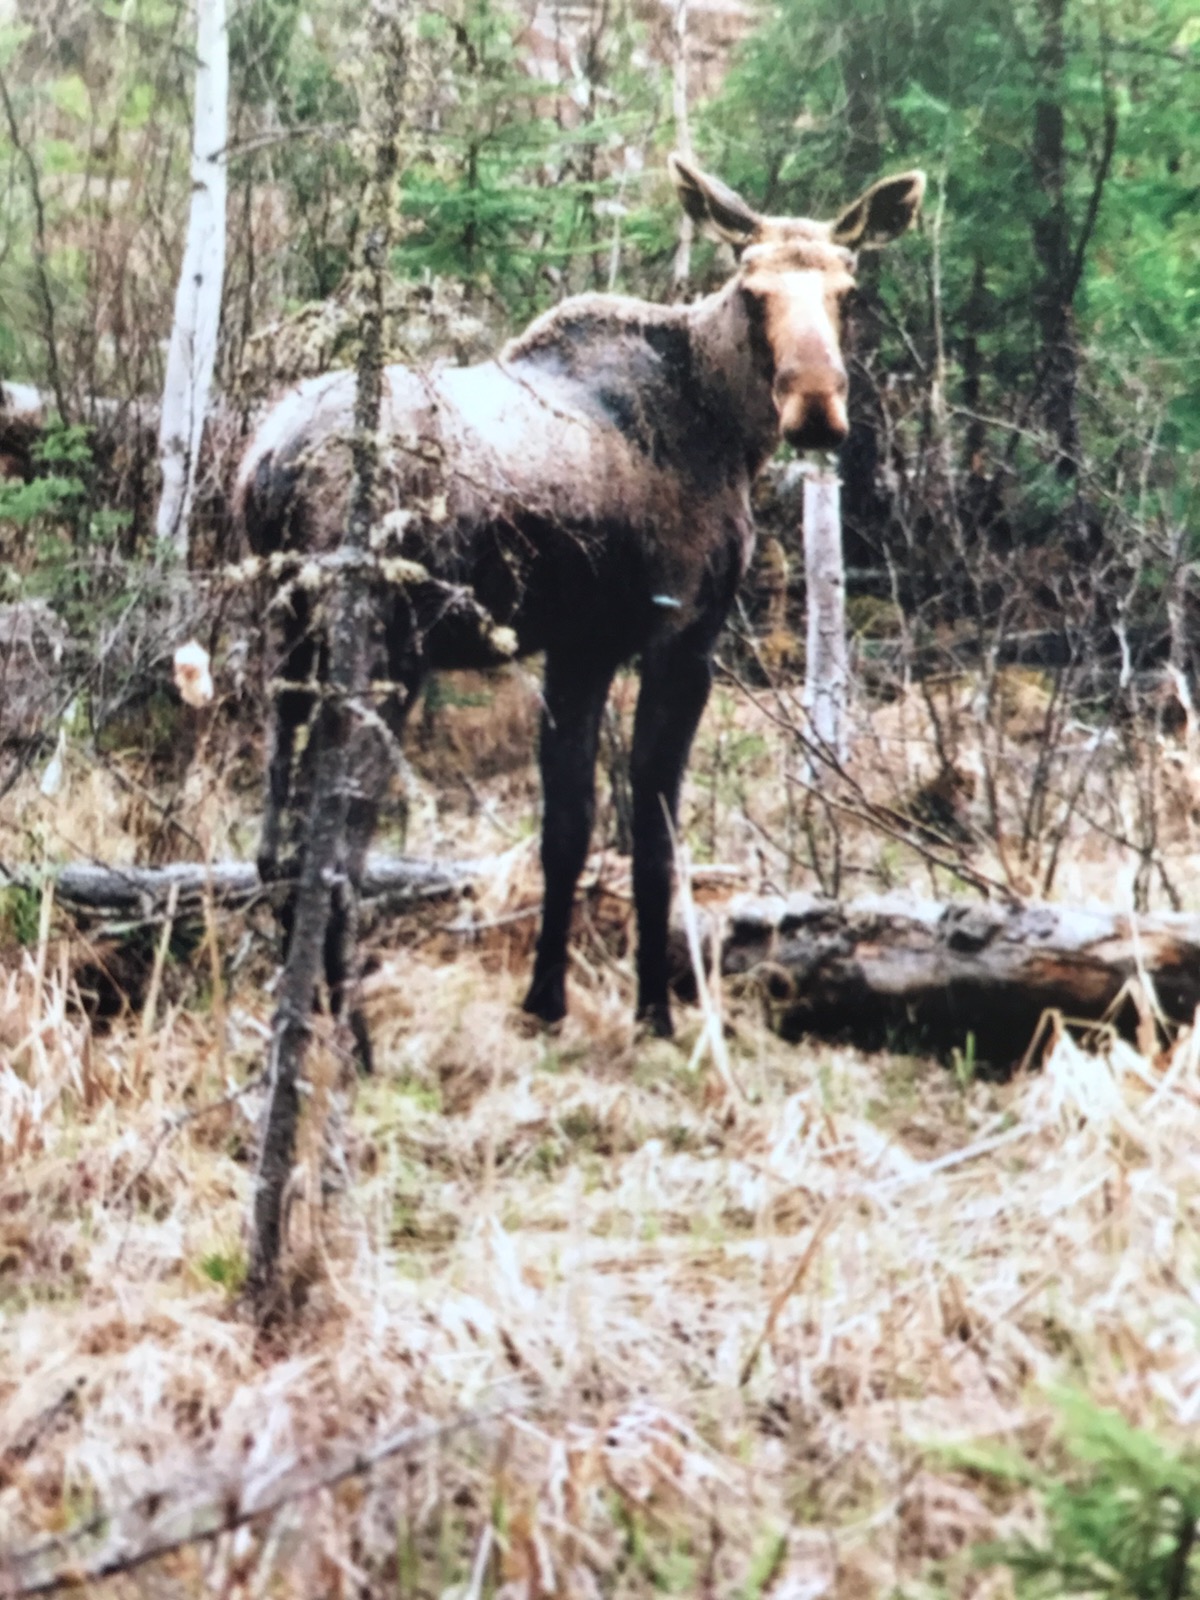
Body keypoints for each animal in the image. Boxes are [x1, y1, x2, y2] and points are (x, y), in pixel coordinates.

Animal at [235, 154, 925, 1060]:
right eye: (751, 288)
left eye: (848, 287)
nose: (815, 409)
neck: (727, 432)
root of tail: (269, 467)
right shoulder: (681, 637)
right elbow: (654, 837)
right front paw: (655, 1011)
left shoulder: (577, 646)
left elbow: (565, 830)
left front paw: (545, 1001)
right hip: (382, 652)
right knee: (334, 851)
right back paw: (354, 1039)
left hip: (283, 642)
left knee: (271, 844)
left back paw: (303, 1018)